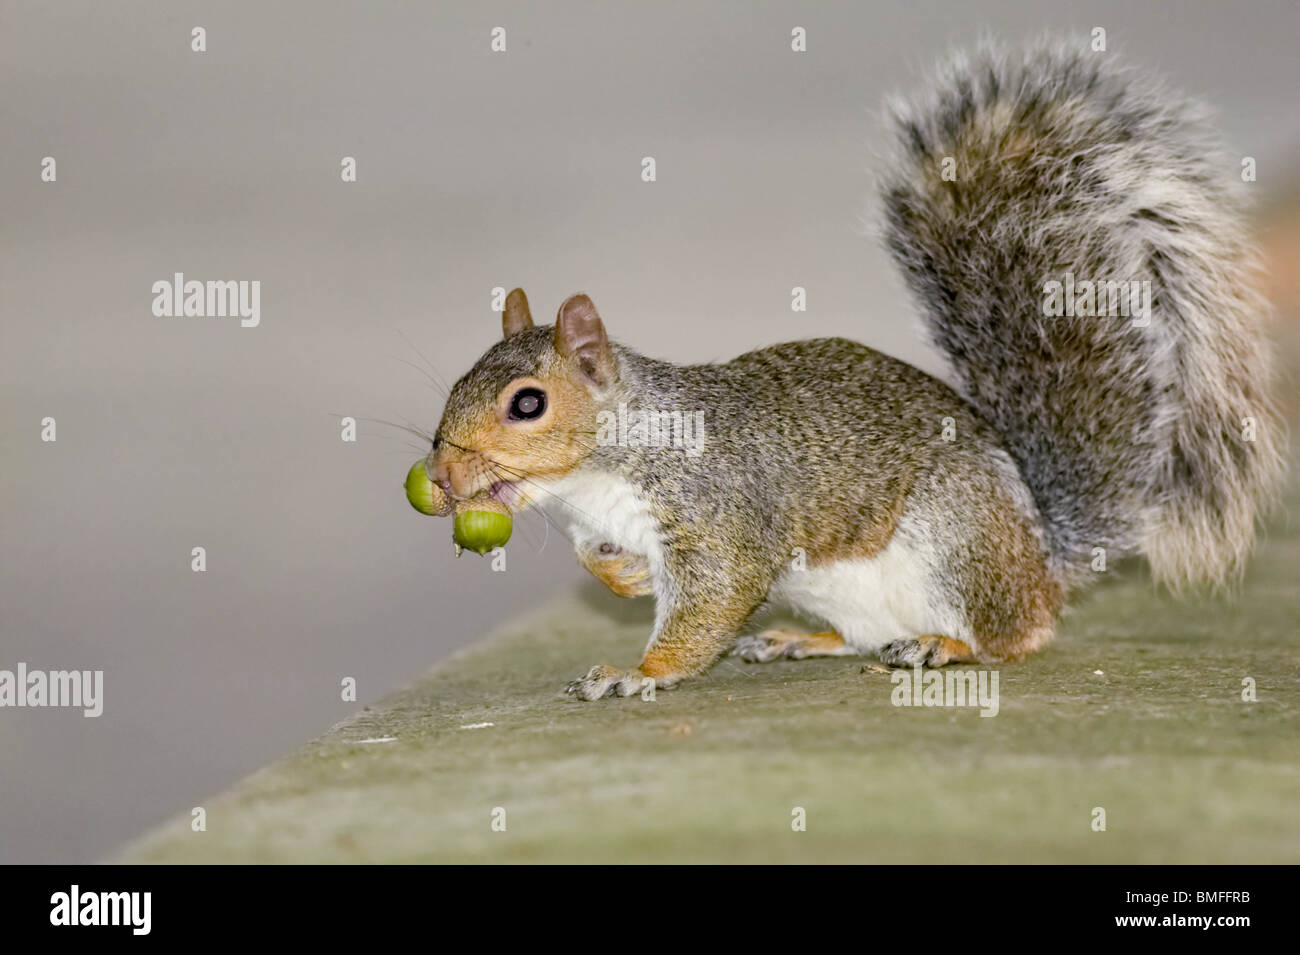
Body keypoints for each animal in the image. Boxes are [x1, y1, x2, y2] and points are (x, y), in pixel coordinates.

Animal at [426, 39, 1284, 701]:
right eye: (457, 384)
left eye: (527, 403)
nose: (439, 474)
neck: (602, 468)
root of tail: (1045, 551)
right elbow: (603, 565)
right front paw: (623, 579)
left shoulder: (721, 514)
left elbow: (710, 604)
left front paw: (640, 671)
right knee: (873, 634)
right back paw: (803, 641)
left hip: (958, 540)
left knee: (1018, 633)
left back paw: (949, 644)